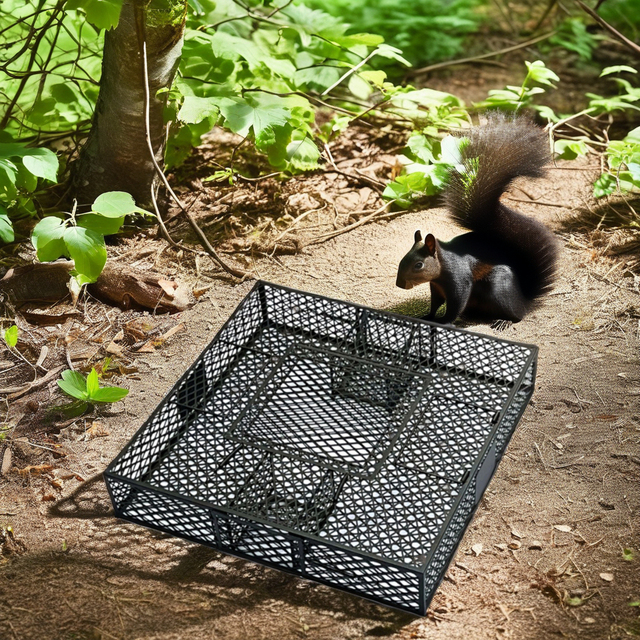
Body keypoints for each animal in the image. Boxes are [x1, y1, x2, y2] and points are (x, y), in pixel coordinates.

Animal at [395, 113, 558, 324]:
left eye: (418, 265)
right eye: (403, 258)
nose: (399, 284)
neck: (441, 270)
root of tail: (525, 300)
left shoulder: (459, 281)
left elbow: (455, 305)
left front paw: (444, 321)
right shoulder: (436, 287)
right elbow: (435, 304)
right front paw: (428, 316)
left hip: (499, 287)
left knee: (517, 315)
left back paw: (504, 320)